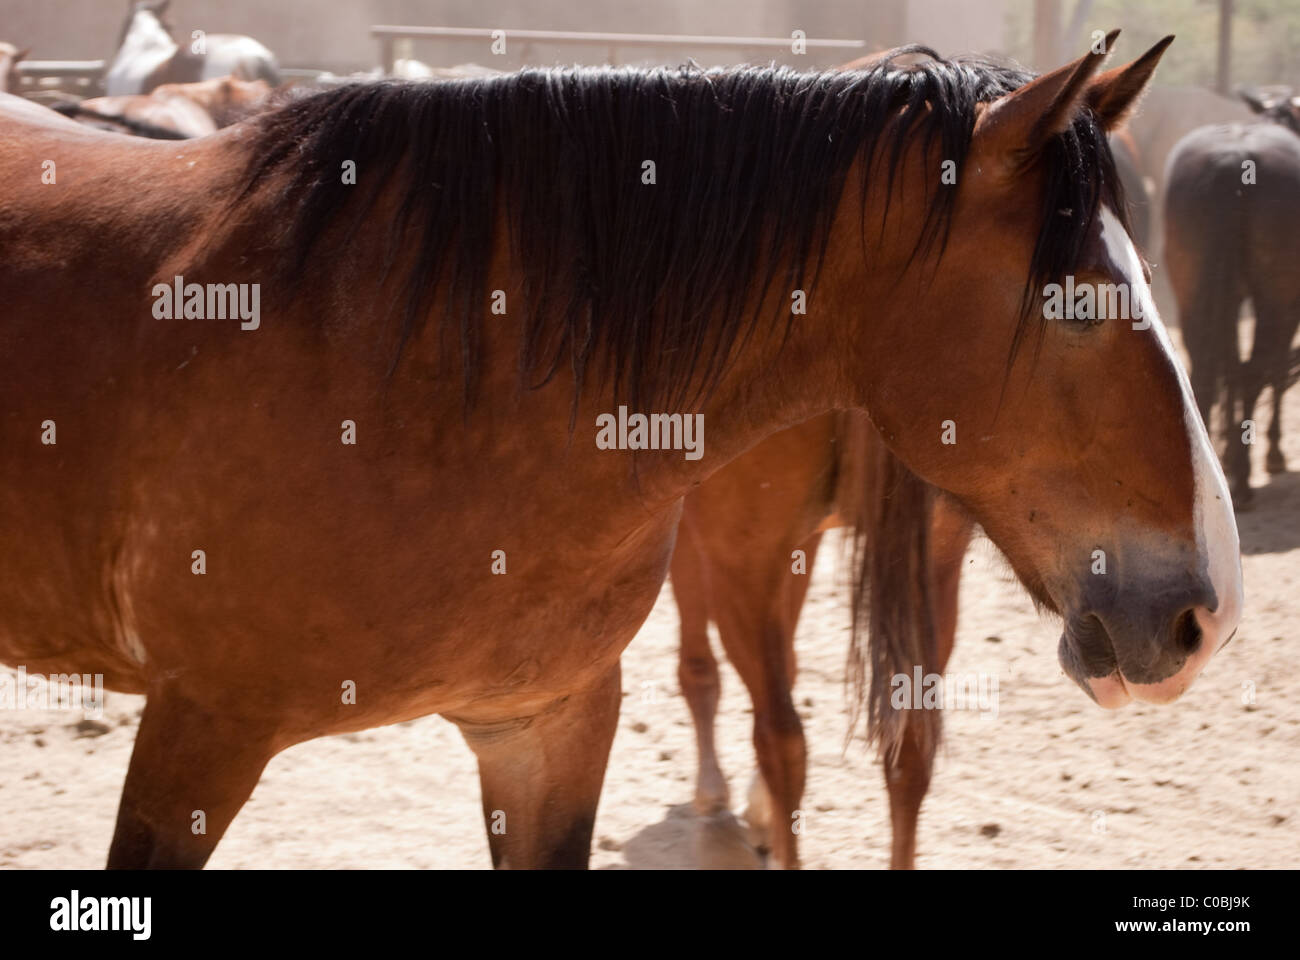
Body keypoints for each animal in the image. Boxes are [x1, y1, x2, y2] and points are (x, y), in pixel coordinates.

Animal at [673, 411, 973, 868]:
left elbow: (698, 665)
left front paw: (717, 795)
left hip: (741, 562)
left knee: (779, 740)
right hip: (934, 562)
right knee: (910, 747)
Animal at [1164, 107, 1300, 507]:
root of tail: (1231, 162)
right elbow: (1268, 372)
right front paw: (1273, 453)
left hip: (1192, 290)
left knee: (1204, 375)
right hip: (1275, 301)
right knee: (1256, 371)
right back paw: (1241, 477)